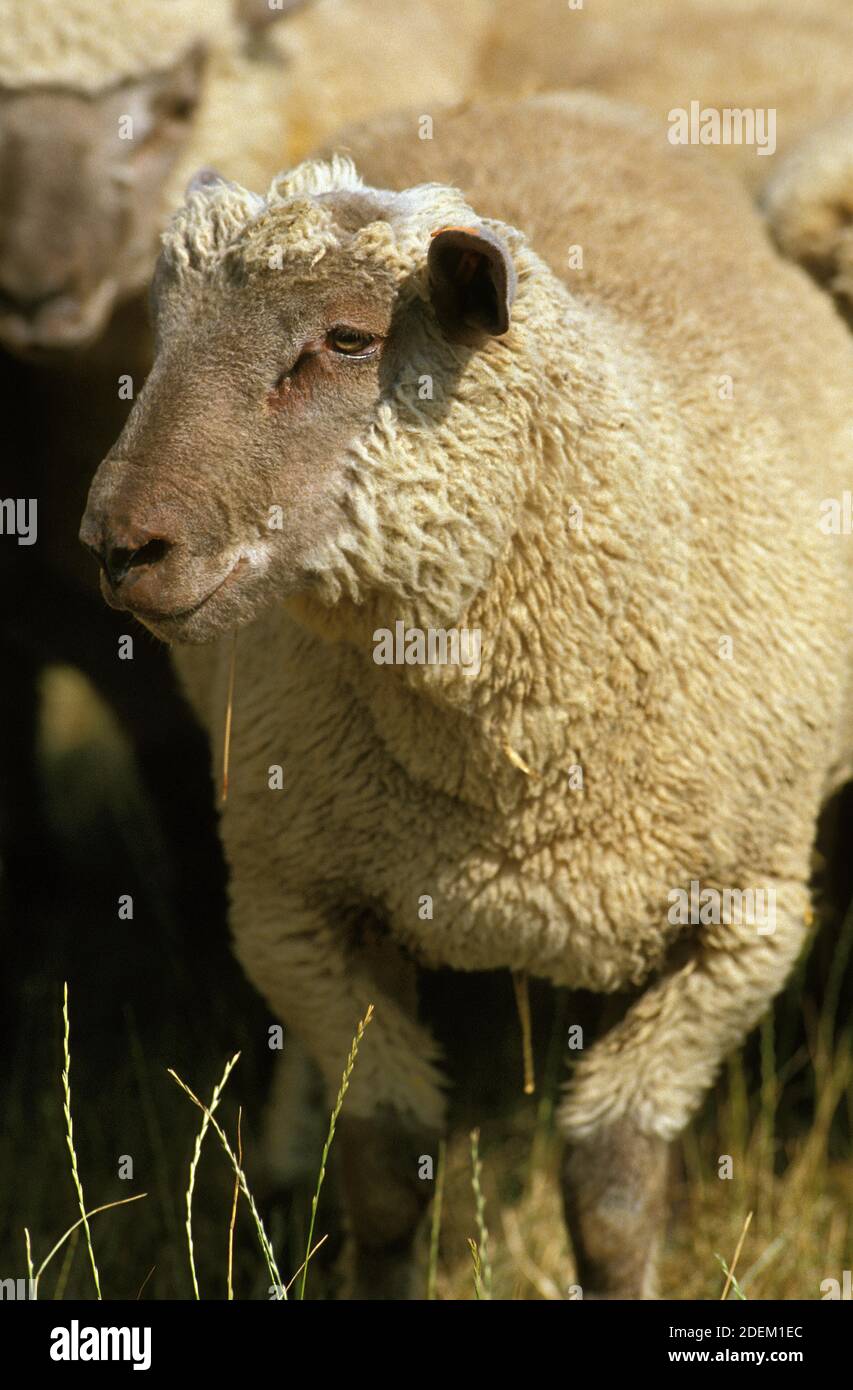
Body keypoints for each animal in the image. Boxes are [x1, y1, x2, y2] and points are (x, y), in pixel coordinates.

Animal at [80, 90, 853, 1298]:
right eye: (161, 338)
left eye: (349, 340)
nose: (119, 545)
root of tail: (524, 101)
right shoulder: (296, 912)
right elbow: (388, 1172)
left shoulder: (744, 929)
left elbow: (611, 1190)